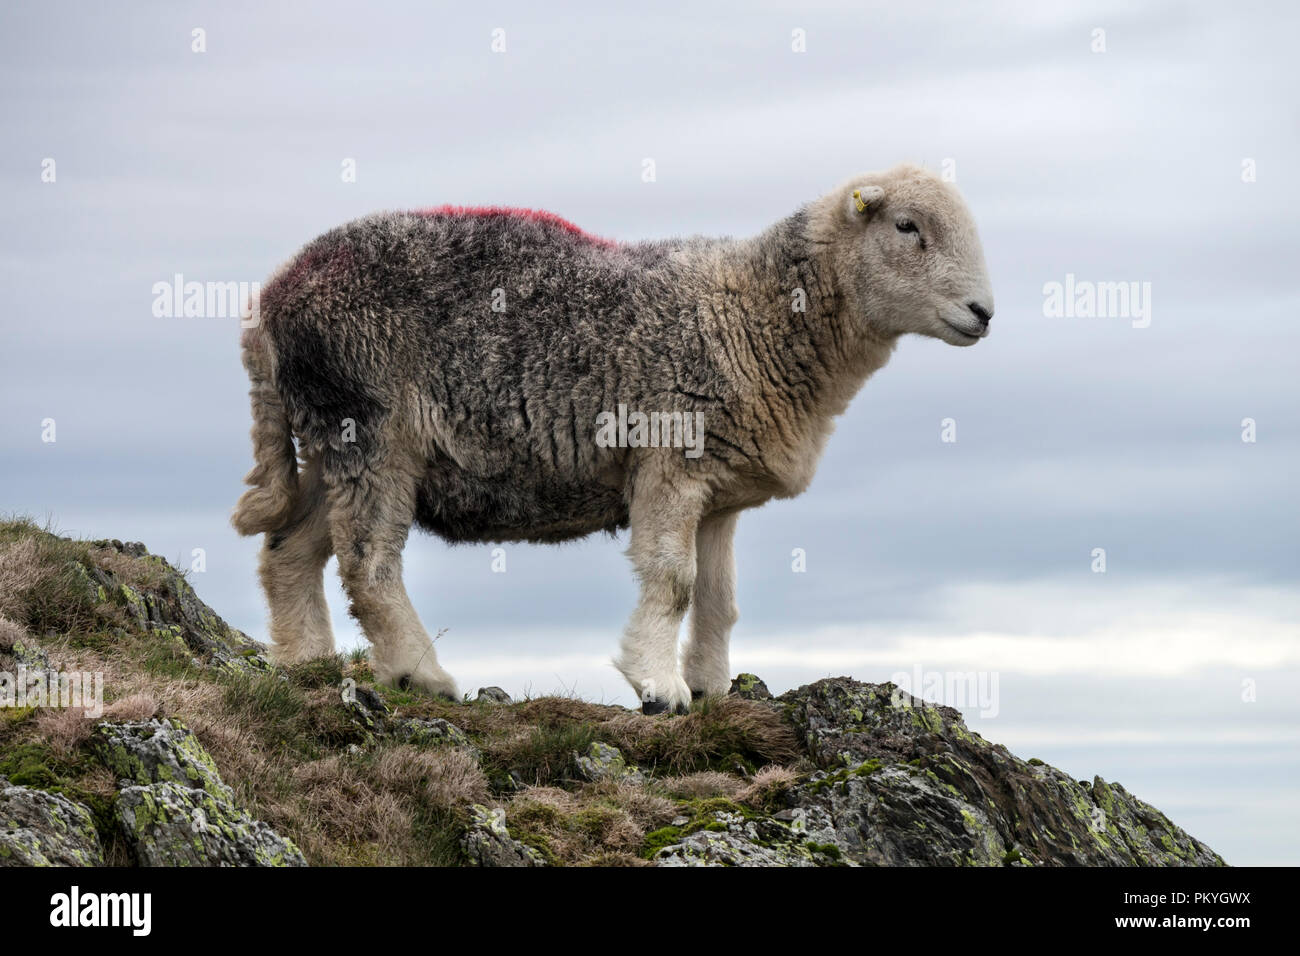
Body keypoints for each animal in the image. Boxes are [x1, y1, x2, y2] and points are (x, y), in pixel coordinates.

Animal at [231, 162, 994, 714]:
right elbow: (673, 580)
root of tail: (272, 298)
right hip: (370, 424)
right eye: (906, 226)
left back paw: (306, 662)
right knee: (368, 562)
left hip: (328, 441)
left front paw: (710, 685)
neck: (755, 311)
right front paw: (658, 686)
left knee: (288, 552)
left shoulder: (720, 491)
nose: (983, 312)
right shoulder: (670, 457)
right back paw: (422, 674)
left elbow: (719, 598)